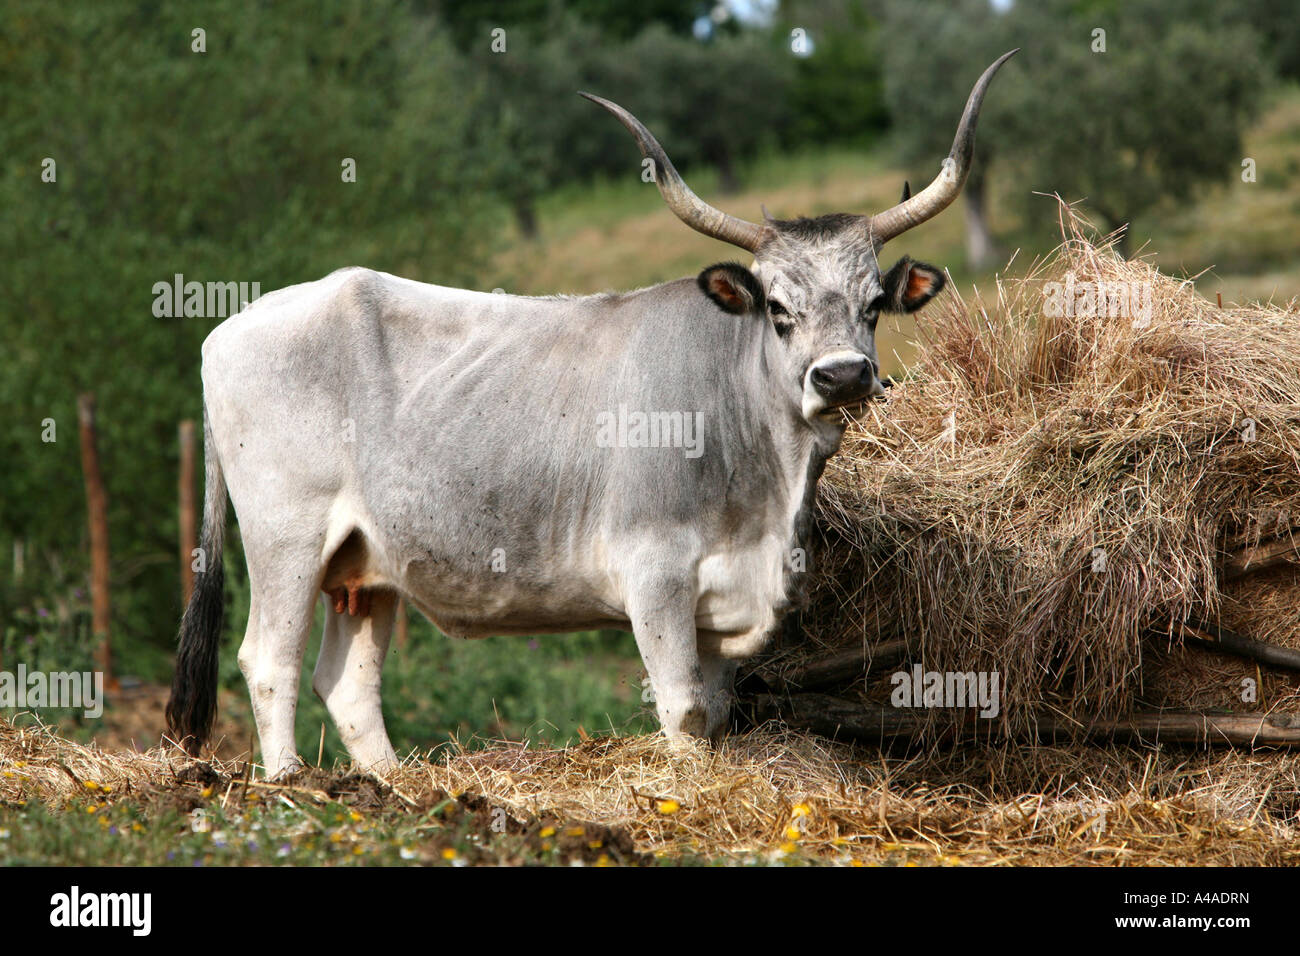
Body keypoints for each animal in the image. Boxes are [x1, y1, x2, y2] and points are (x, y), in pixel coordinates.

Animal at [167, 52, 1016, 779]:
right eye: (777, 309)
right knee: (268, 661)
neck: (766, 483)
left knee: (346, 681)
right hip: (287, 535)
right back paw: (288, 783)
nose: (842, 375)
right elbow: (682, 712)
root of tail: (233, 325)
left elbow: (714, 712)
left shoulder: (722, 601)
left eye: (874, 304)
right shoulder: (656, 574)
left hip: (364, 561)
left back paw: (389, 782)